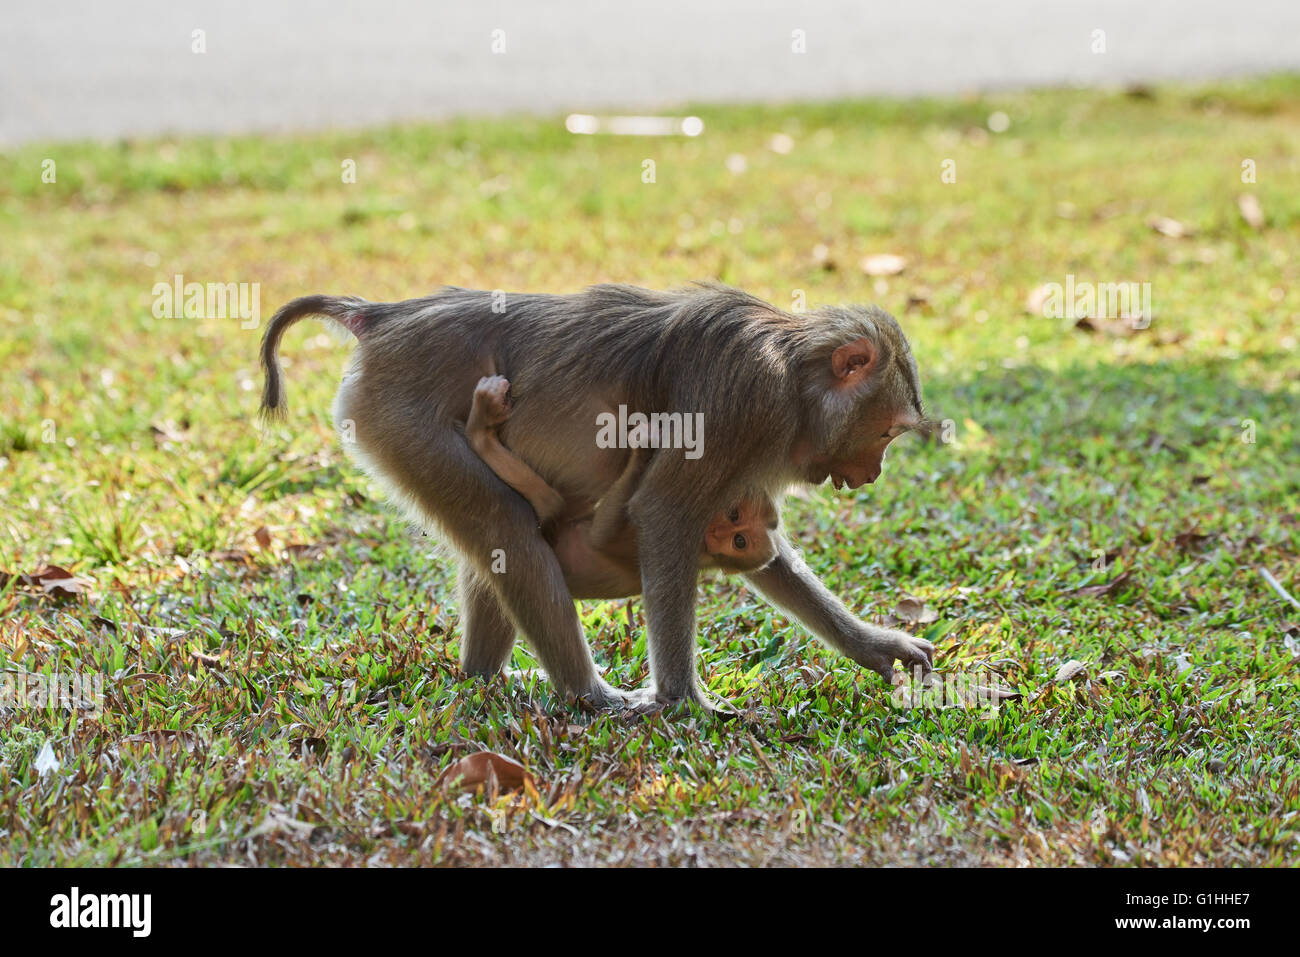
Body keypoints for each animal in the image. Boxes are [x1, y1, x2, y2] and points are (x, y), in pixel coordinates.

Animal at [463, 373, 777, 599]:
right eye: (734, 515)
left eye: (739, 541)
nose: (717, 530)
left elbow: (604, 536)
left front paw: (644, 446)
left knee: (551, 505)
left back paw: (480, 427)